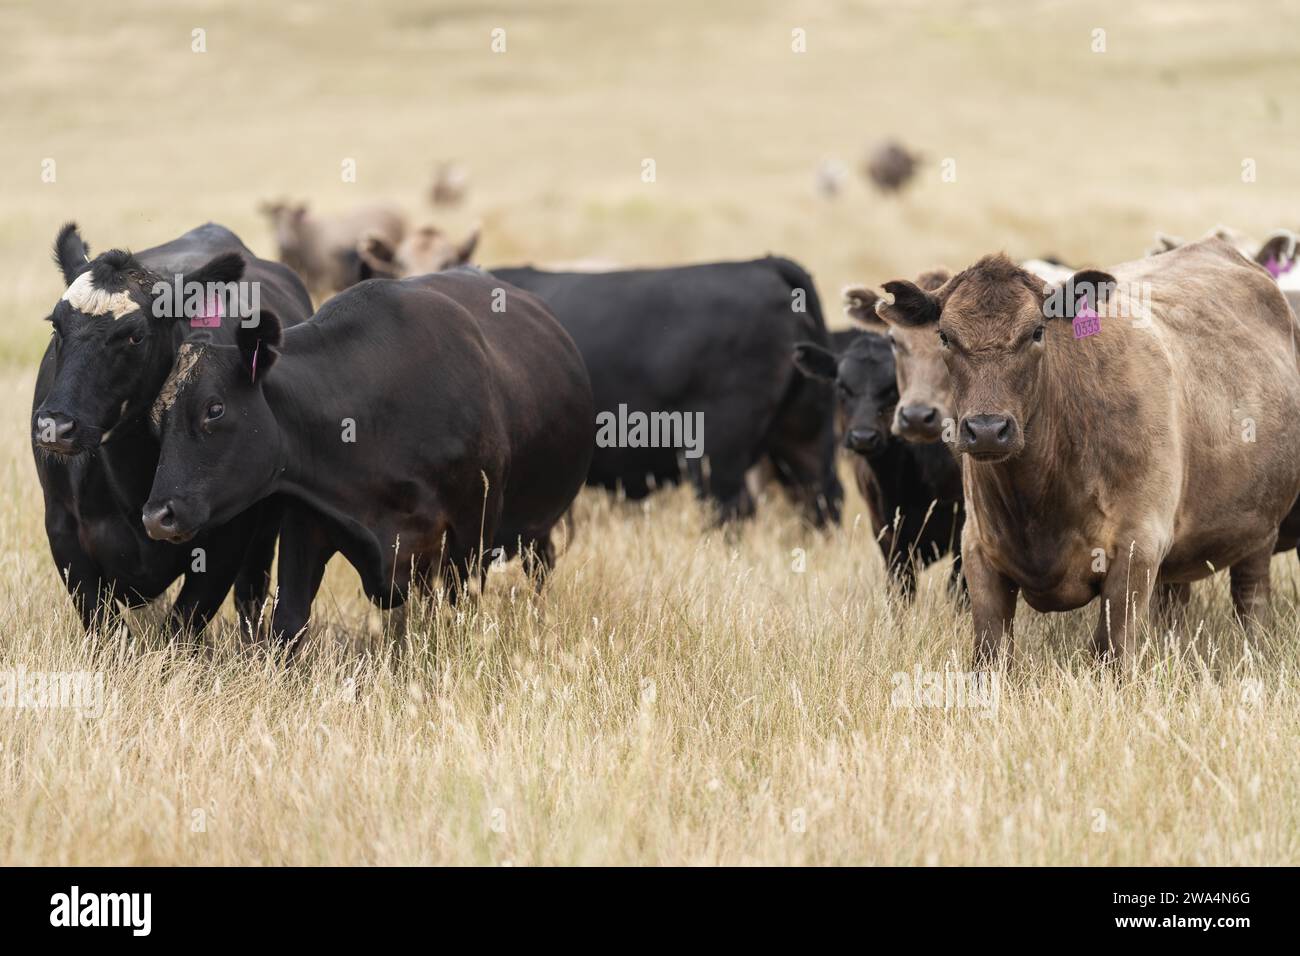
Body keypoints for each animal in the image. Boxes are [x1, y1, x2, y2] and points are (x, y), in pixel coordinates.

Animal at [31, 222, 313, 635]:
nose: (55, 426)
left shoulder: (230, 536)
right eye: (56, 326)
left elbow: (184, 623)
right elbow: (104, 625)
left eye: (135, 335)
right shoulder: (63, 526)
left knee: (251, 595)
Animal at [141, 268, 594, 652]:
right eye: (156, 418)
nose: (156, 516)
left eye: (214, 409)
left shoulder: (473, 523)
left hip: (535, 527)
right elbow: (288, 621)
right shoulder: (306, 518)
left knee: (538, 572)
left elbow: (459, 611)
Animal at [874, 240, 1300, 665]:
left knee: (1250, 602)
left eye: (1037, 332)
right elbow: (990, 652)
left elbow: (1110, 650)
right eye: (945, 336)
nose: (987, 430)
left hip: (1258, 535)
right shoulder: (979, 552)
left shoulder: (1137, 550)